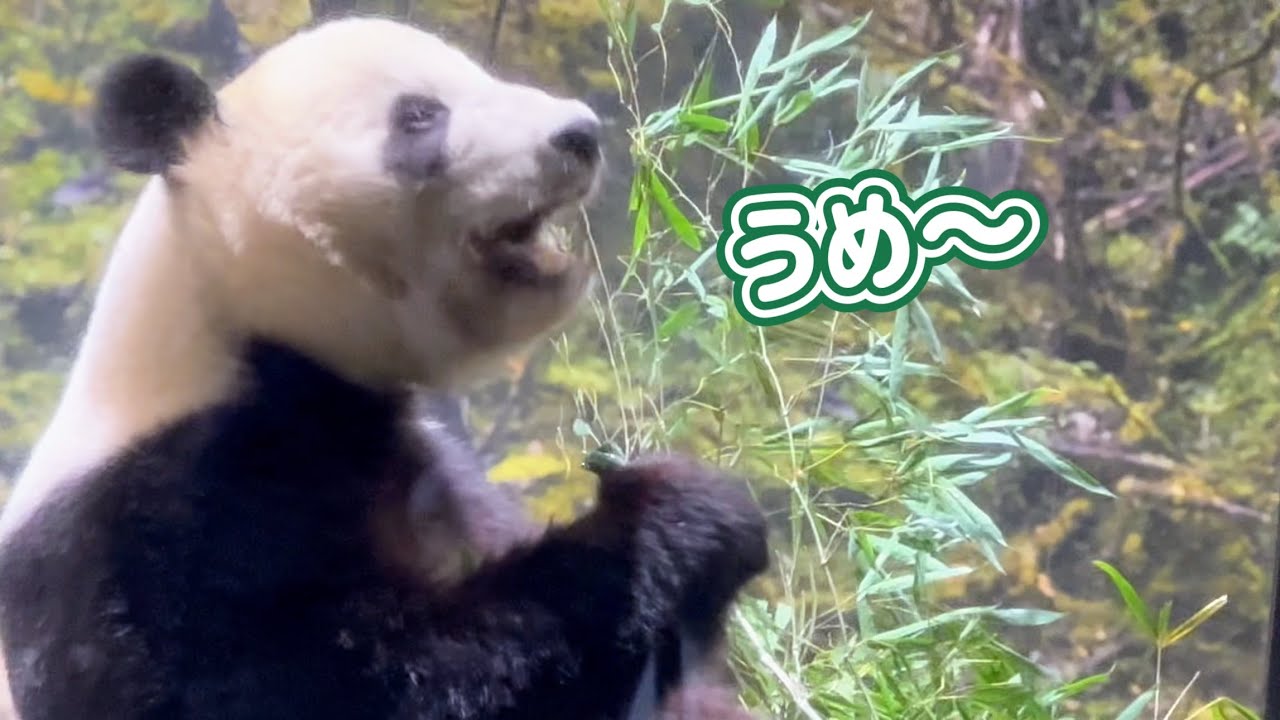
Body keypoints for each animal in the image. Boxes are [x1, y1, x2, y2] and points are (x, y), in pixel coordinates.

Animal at [0, 16, 768, 720]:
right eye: (420, 115)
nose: (579, 134)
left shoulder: (423, 464)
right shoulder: (154, 531)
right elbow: (339, 682)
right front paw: (677, 516)